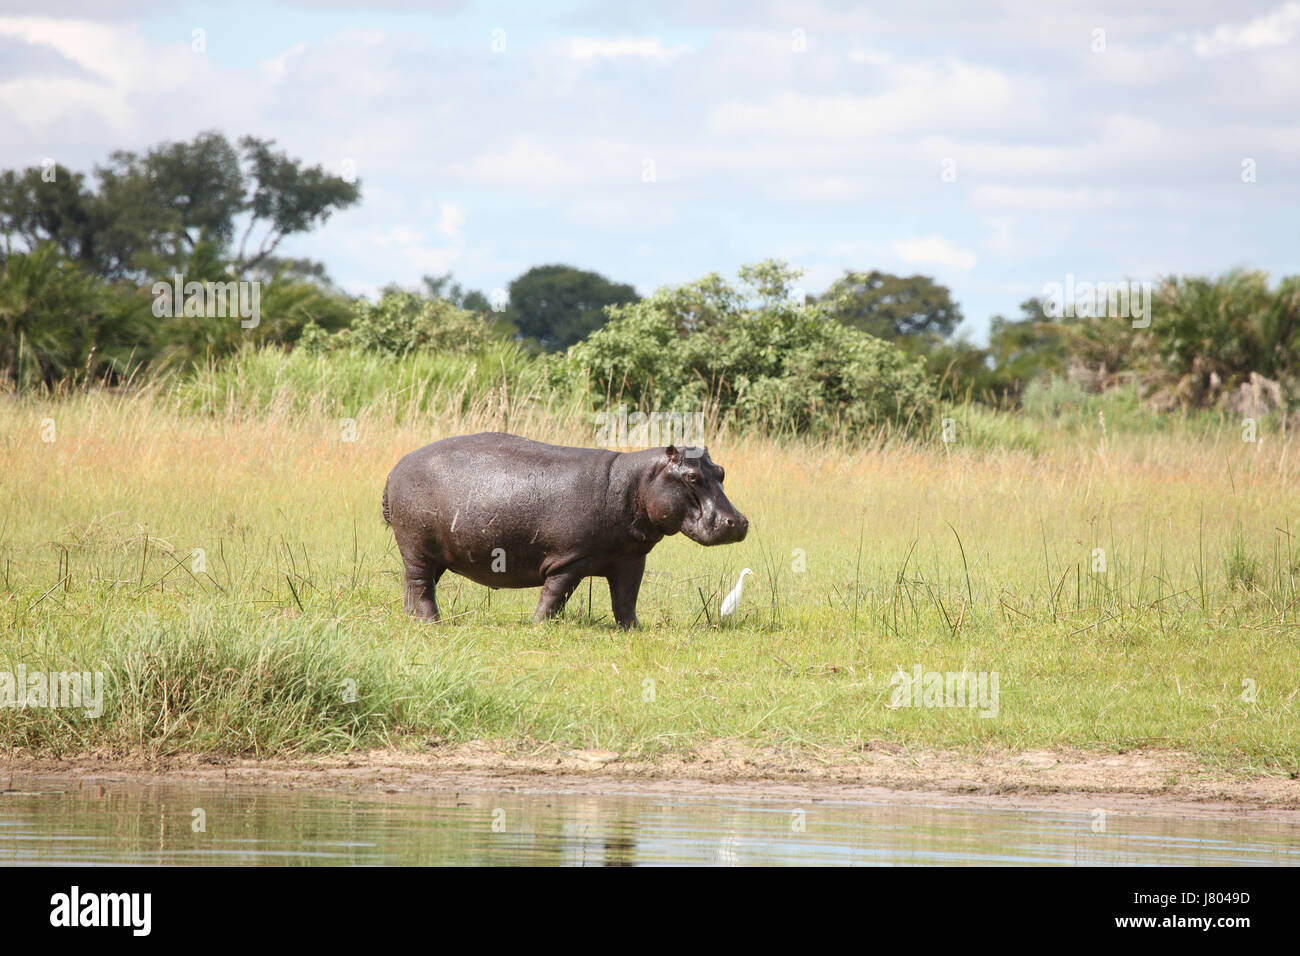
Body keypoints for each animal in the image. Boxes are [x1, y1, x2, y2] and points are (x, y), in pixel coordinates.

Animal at [382, 432, 749, 629]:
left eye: (721, 471)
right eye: (691, 477)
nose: (739, 521)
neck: (639, 481)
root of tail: (395, 467)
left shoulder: (630, 559)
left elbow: (626, 599)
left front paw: (635, 630)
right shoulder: (570, 559)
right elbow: (555, 595)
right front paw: (539, 626)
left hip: (433, 554)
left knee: (415, 586)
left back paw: (410, 618)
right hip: (416, 547)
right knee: (421, 585)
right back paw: (432, 623)